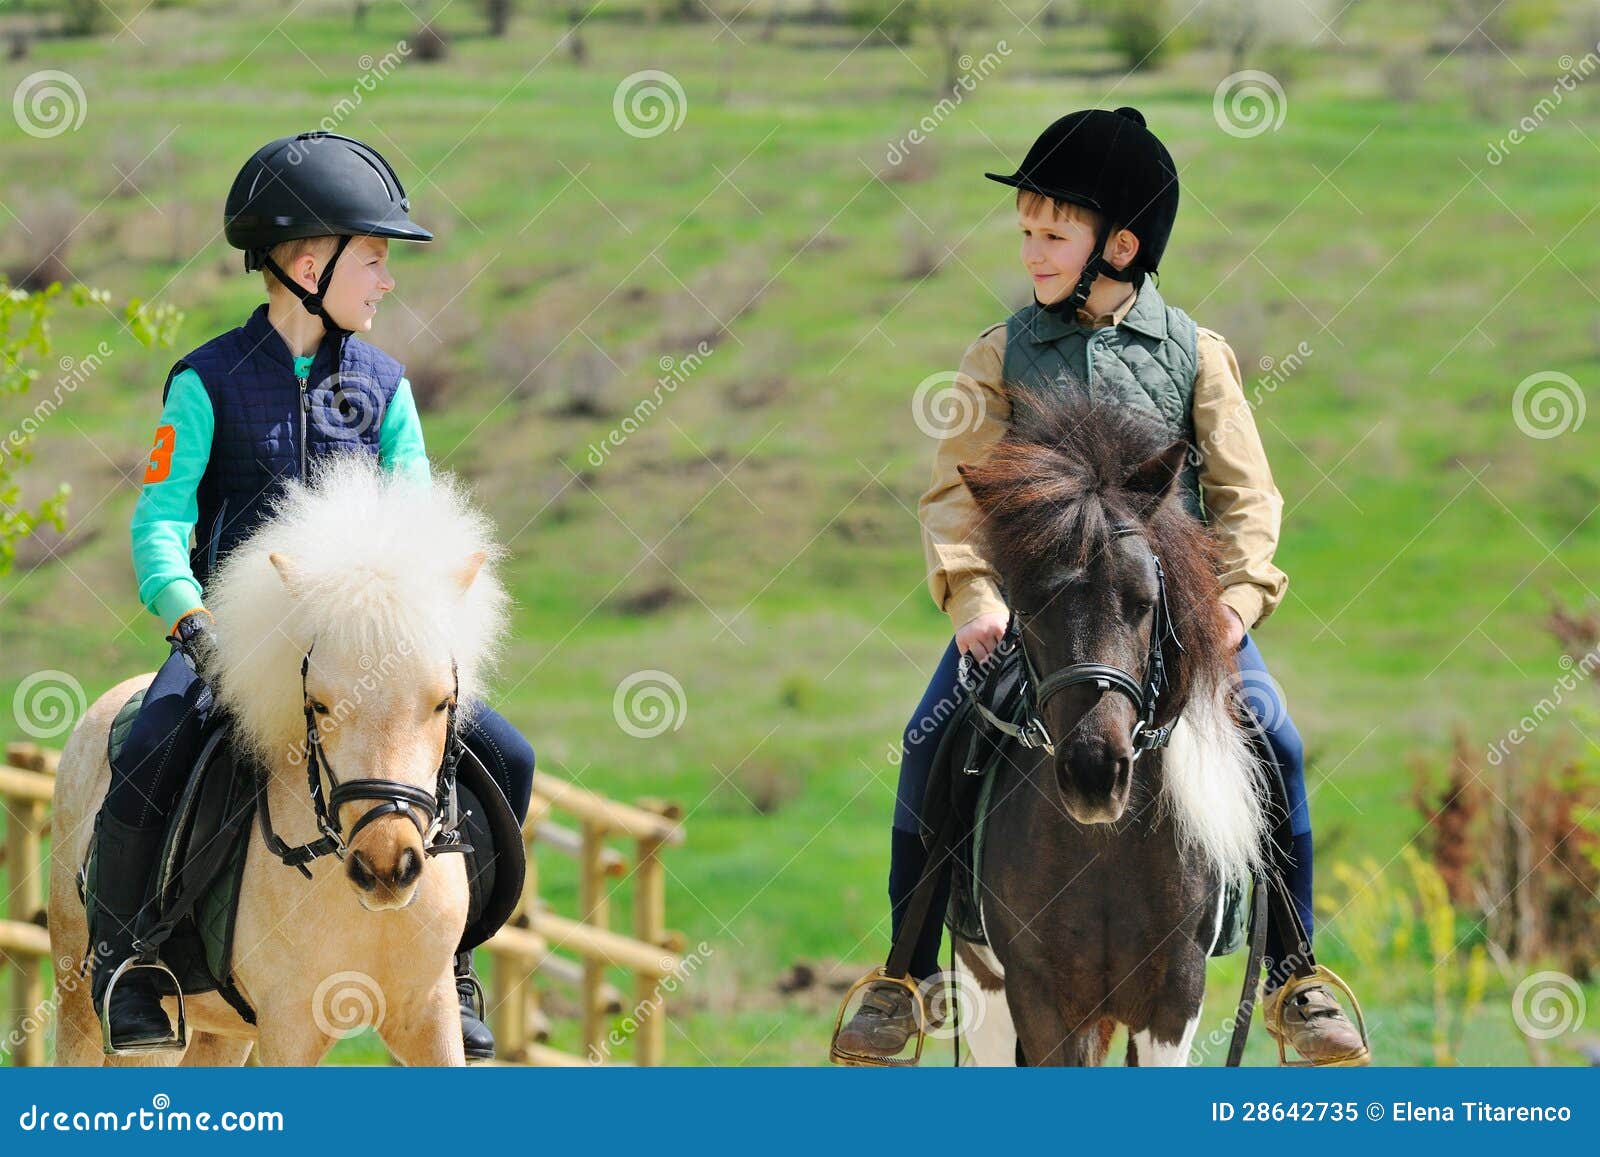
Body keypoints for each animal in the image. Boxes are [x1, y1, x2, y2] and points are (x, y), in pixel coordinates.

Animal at [48, 454, 509, 1065]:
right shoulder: (290, 1025)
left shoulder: (428, 1017)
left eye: (442, 702)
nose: (385, 867)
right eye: (318, 704)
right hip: (84, 1002)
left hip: (220, 1030)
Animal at [949, 394, 1267, 1066]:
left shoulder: (1175, 995)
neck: (1102, 849)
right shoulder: (1039, 998)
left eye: (1145, 601)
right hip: (983, 990)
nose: (1094, 775)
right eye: (1026, 608)